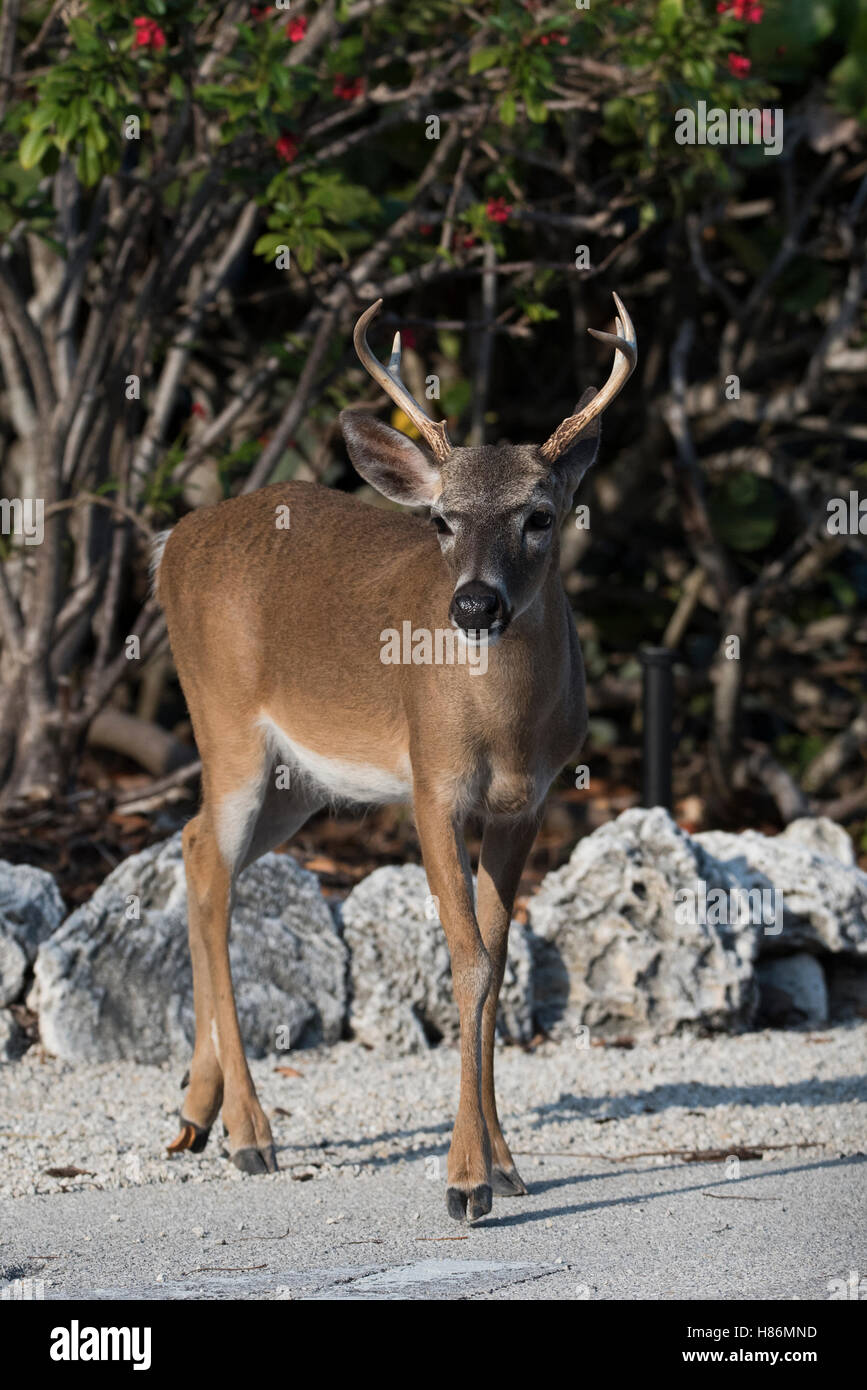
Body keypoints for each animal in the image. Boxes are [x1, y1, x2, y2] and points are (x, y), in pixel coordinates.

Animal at [154, 293, 636, 1223]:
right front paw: (465, 1181)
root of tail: (172, 541)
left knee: (193, 851)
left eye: (539, 515)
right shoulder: (431, 784)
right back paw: (249, 1132)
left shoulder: (528, 802)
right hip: (223, 722)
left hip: (298, 781)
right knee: (212, 871)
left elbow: (496, 959)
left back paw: (195, 1113)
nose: (475, 603)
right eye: (442, 519)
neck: (502, 727)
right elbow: (467, 960)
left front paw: (507, 1167)